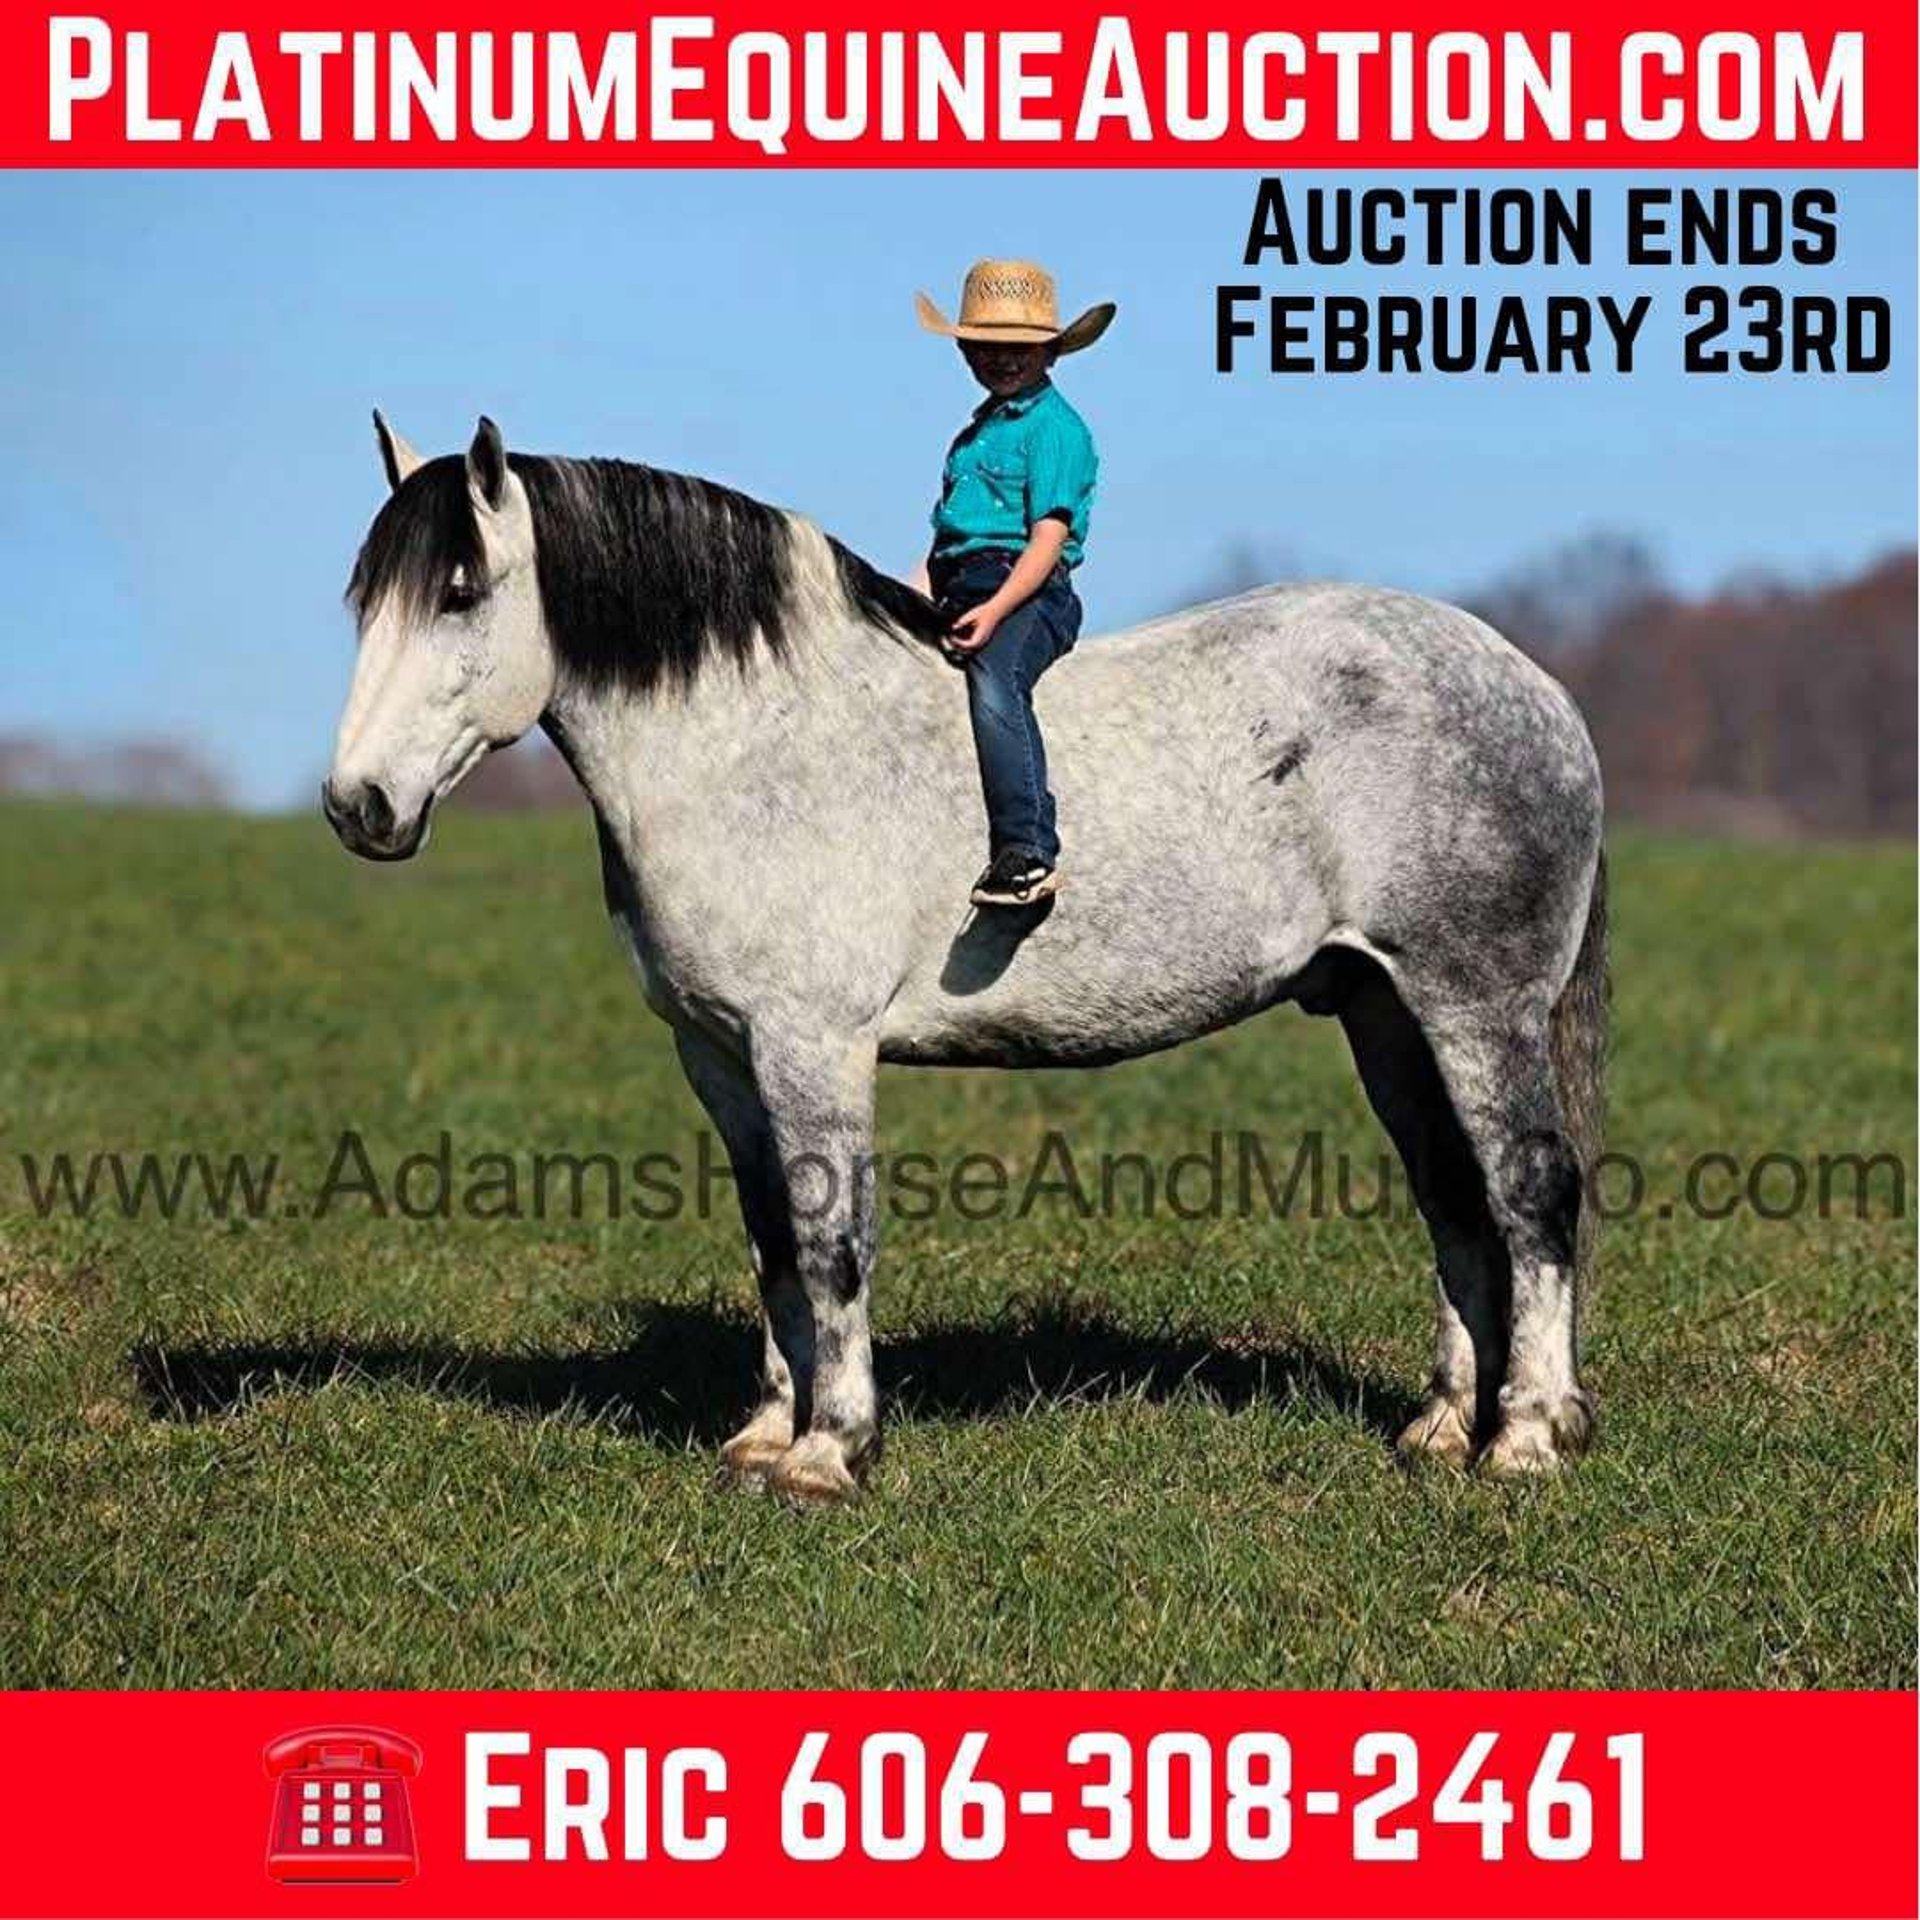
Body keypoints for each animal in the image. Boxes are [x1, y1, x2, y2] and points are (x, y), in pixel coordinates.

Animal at [324, 412, 1608, 1506]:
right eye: (364, 599)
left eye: (457, 593)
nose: (357, 808)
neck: (755, 746)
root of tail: (1536, 687)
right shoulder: (720, 1056)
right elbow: (772, 1239)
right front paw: (765, 1434)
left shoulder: (813, 1048)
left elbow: (832, 1242)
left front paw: (830, 1451)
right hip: (1387, 1014)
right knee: (1454, 1199)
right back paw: (1441, 1427)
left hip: (1474, 1006)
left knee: (1532, 1194)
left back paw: (1527, 1436)